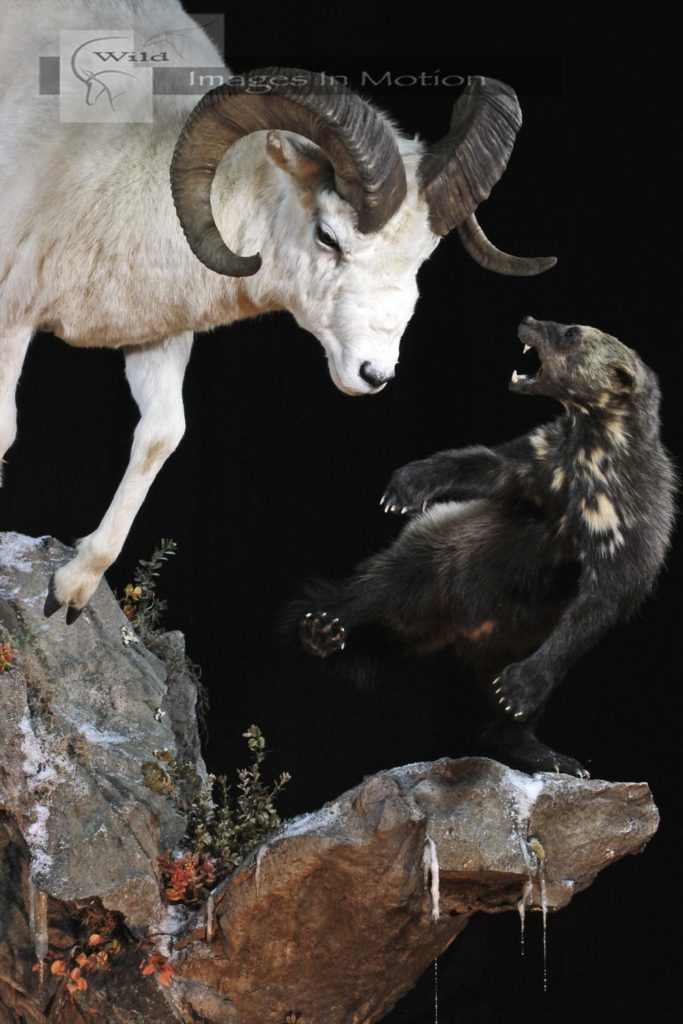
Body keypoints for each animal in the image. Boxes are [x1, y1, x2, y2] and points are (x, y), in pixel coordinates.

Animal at [0, 0, 556, 621]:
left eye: (424, 255)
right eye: (328, 236)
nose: (374, 374)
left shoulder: (158, 341)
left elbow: (161, 436)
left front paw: (71, 589)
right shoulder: (10, 319)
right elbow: (4, 429)